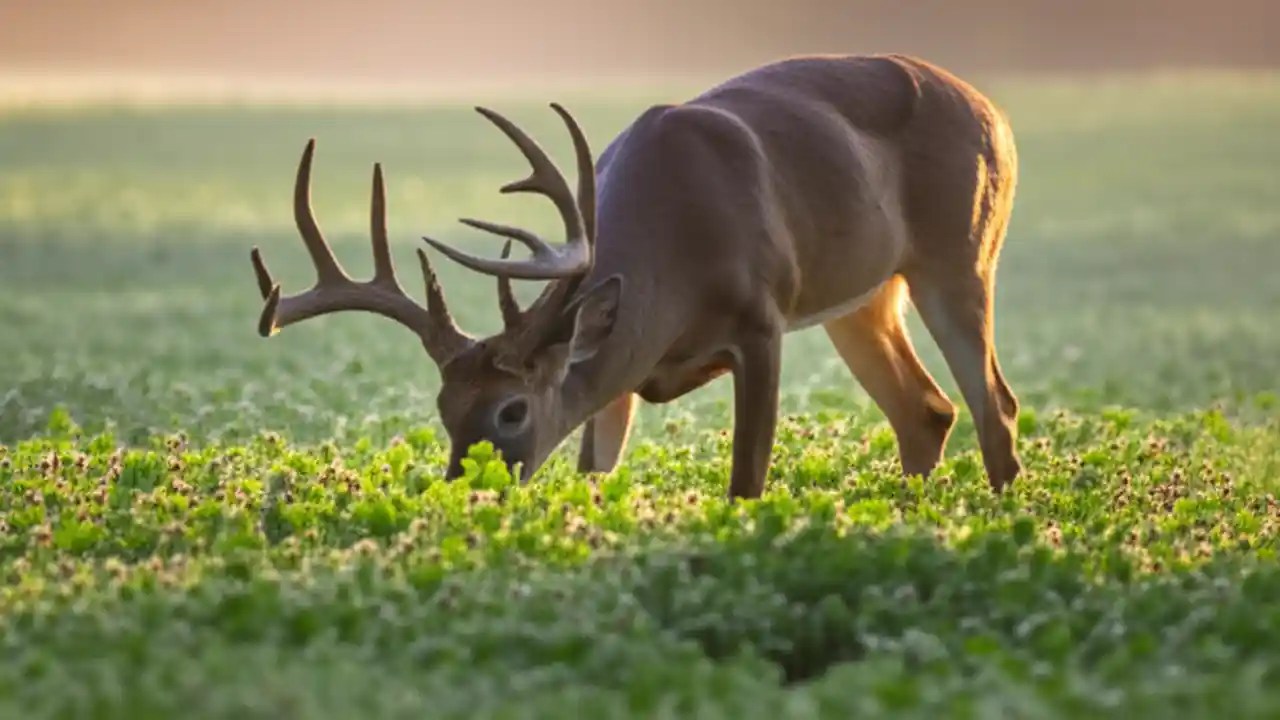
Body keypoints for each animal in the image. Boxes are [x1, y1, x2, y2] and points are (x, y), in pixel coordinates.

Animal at [248, 53, 1024, 500]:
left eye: (511, 410)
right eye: (443, 407)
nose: (466, 492)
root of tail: (995, 111)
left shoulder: (762, 319)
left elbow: (746, 480)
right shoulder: (620, 367)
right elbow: (595, 478)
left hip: (958, 257)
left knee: (994, 407)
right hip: (862, 301)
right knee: (927, 411)